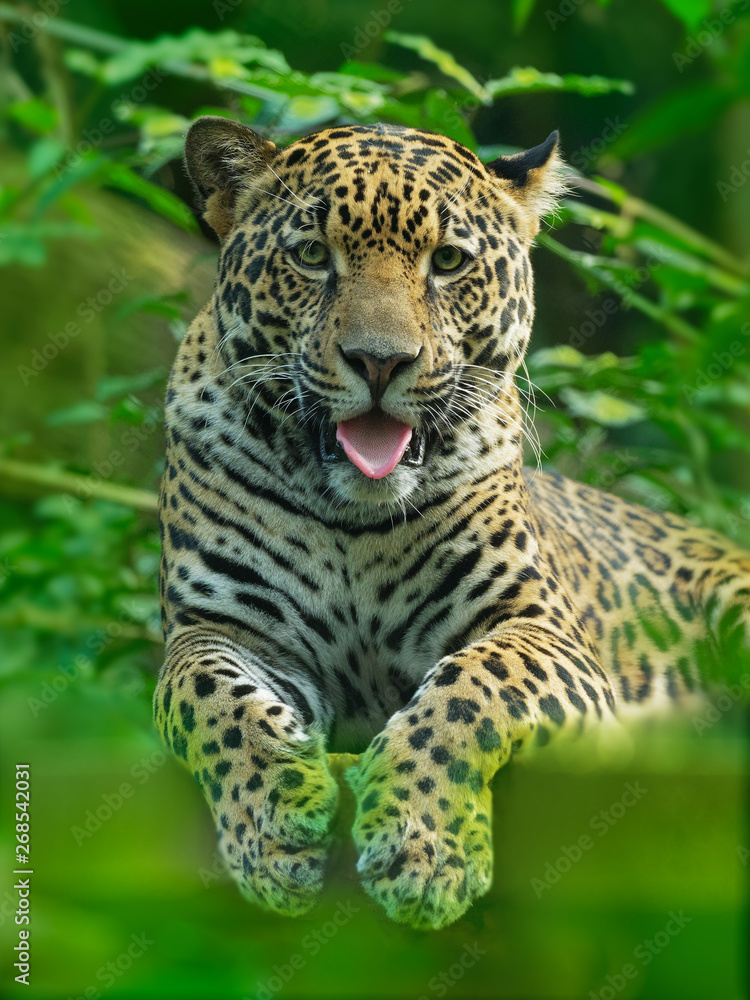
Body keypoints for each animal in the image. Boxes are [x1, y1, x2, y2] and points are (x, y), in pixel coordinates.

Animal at [153, 116, 750, 930]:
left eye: (447, 262)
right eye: (312, 256)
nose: (379, 362)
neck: (353, 518)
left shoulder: (537, 627)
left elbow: (469, 690)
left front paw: (423, 845)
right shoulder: (221, 631)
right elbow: (216, 701)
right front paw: (274, 824)